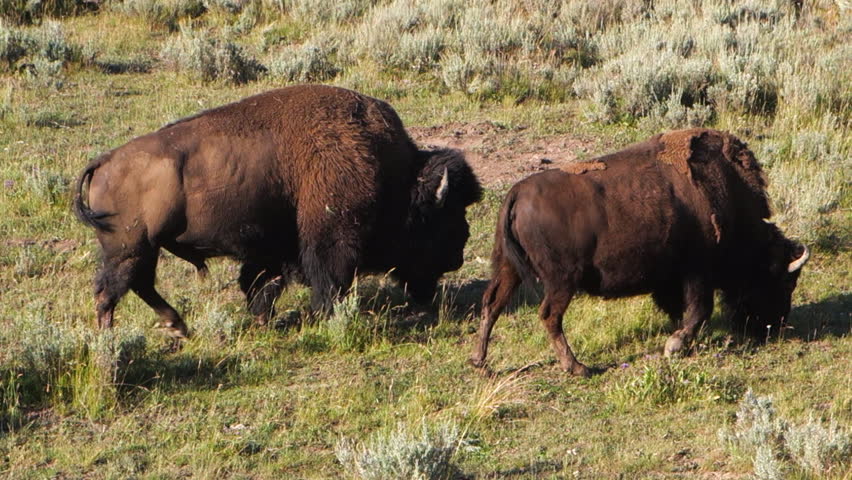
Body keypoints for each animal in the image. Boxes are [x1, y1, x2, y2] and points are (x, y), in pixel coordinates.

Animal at [75, 85, 481, 337]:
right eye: (444, 219)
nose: (458, 256)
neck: (391, 173)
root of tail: (104, 161)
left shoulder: (273, 248)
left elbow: (260, 283)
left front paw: (262, 319)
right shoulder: (328, 239)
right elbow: (328, 280)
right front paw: (326, 317)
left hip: (141, 249)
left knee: (137, 284)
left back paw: (178, 326)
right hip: (129, 249)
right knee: (112, 291)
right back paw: (112, 343)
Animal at [471, 128, 808, 377]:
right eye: (783, 281)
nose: (773, 327)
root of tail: (516, 193)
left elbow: (682, 310)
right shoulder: (697, 272)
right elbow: (699, 310)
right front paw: (675, 345)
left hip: (508, 268)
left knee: (492, 304)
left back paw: (480, 362)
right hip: (562, 281)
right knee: (549, 316)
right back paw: (577, 367)